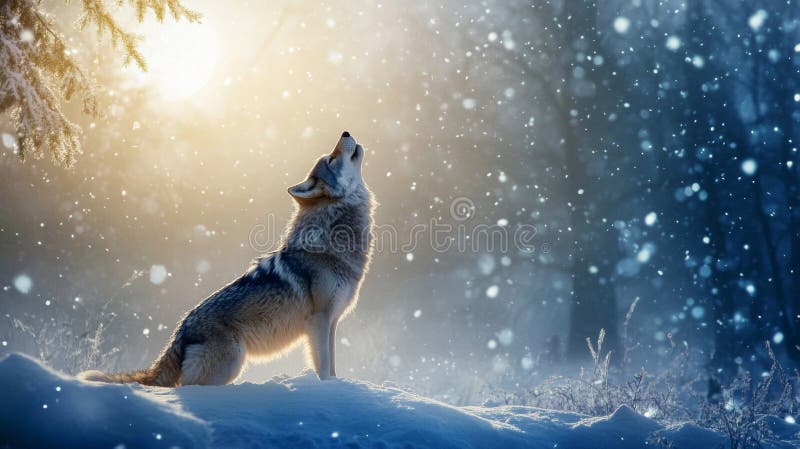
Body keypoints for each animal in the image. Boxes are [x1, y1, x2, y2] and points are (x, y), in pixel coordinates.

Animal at [79, 132, 374, 386]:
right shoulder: (318, 321)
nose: (345, 133)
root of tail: (180, 332)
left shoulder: (332, 322)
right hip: (231, 364)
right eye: (331, 159)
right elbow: (323, 367)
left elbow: (332, 365)